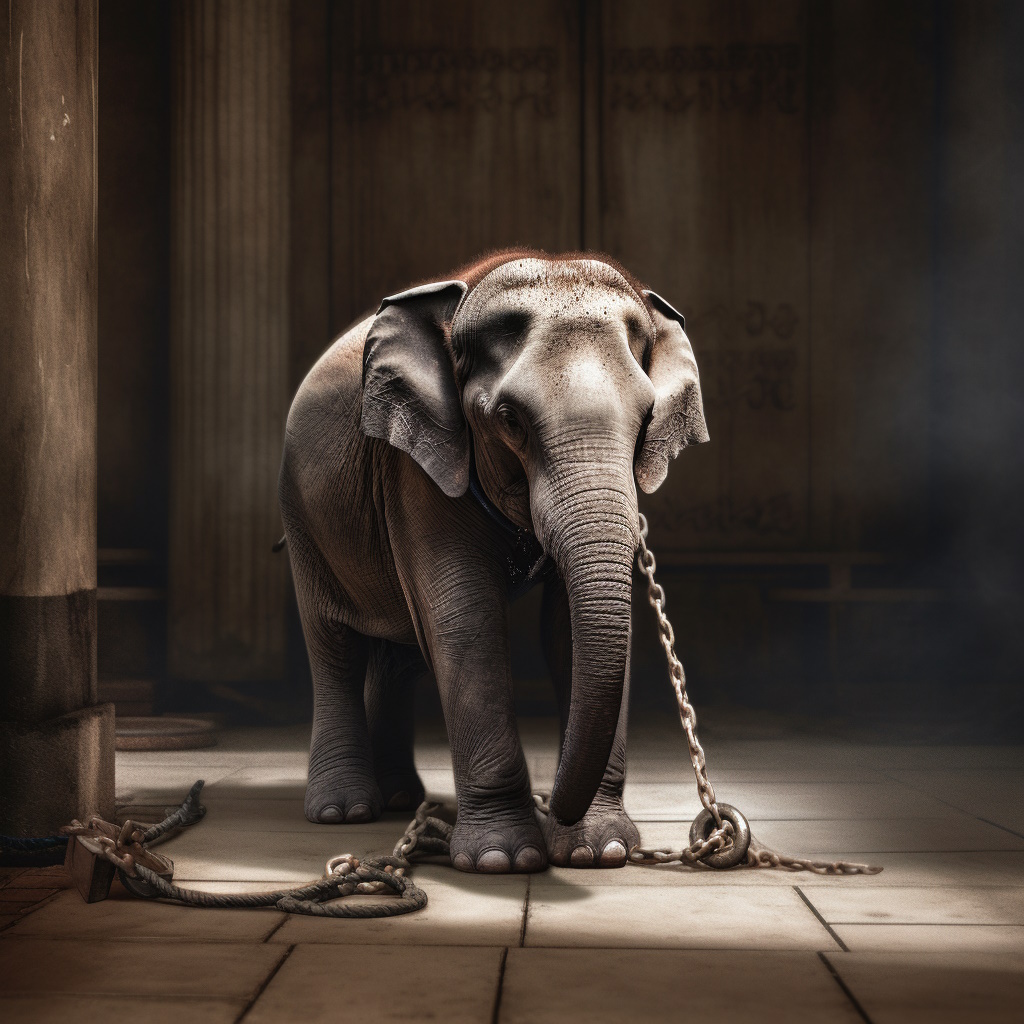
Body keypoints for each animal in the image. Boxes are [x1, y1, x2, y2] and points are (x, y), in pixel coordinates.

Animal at [278, 249, 708, 873]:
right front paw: (503, 861)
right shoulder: (417, 467)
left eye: (648, 415)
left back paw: (400, 799)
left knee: (398, 651)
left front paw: (597, 852)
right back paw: (345, 812)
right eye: (509, 419)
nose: (555, 808)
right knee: (333, 645)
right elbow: (464, 617)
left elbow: (568, 628)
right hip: (303, 516)